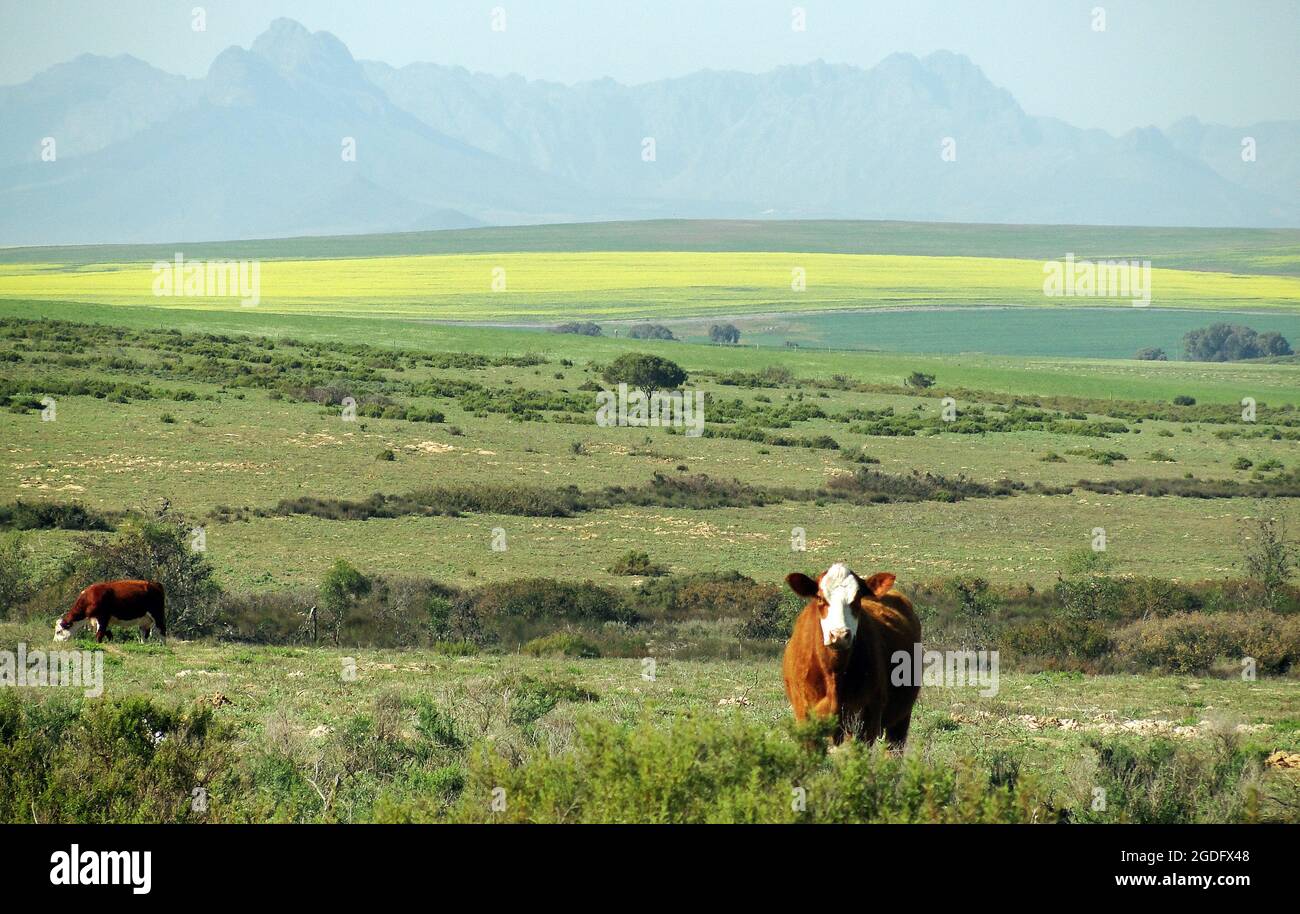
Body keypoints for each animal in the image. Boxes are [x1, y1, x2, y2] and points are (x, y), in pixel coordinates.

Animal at [782, 563, 921, 747]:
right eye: (820, 598)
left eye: (857, 598)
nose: (839, 635)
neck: (833, 673)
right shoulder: (805, 718)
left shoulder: (867, 720)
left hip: (900, 719)